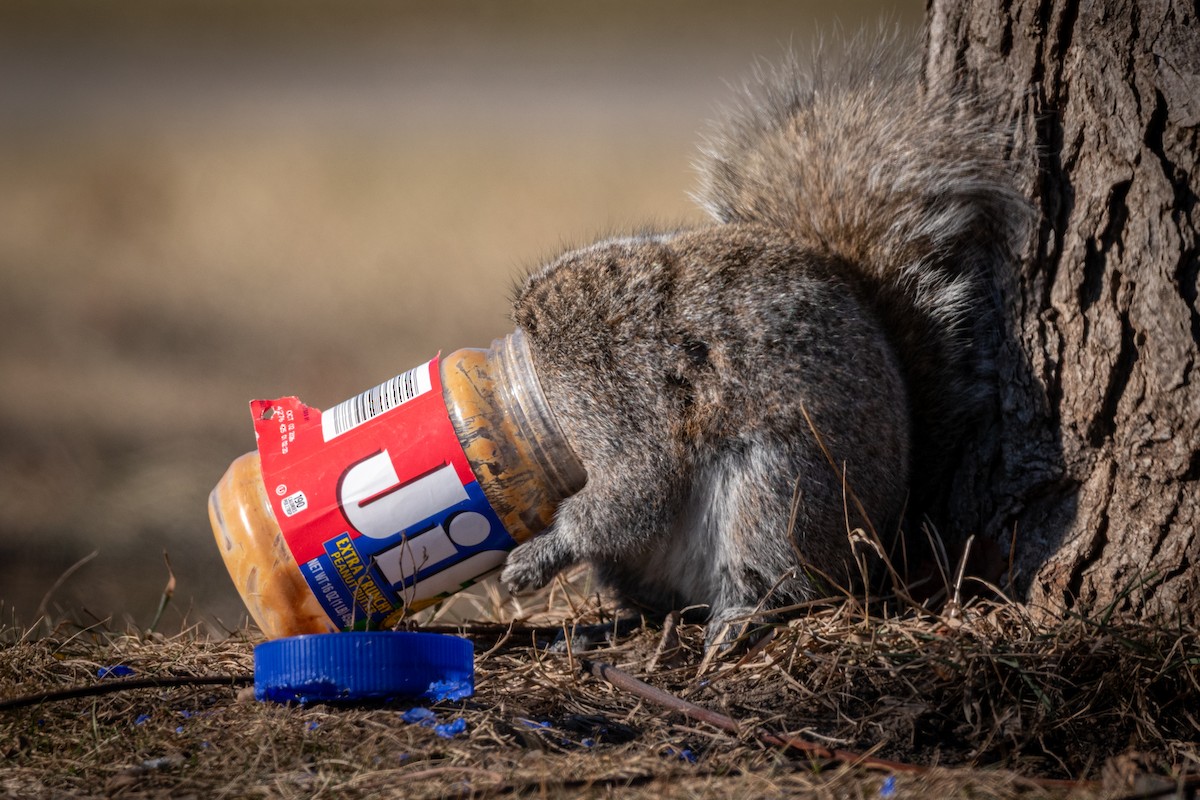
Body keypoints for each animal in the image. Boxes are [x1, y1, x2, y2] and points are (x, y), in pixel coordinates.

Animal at [497, 37, 1027, 646]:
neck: (539, 377)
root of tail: (880, 537)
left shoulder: (612, 403)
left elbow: (633, 494)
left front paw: (536, 555)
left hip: (777, 493)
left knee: (778, 580)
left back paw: (737, 620)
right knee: (666, 603)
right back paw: (617, 628)